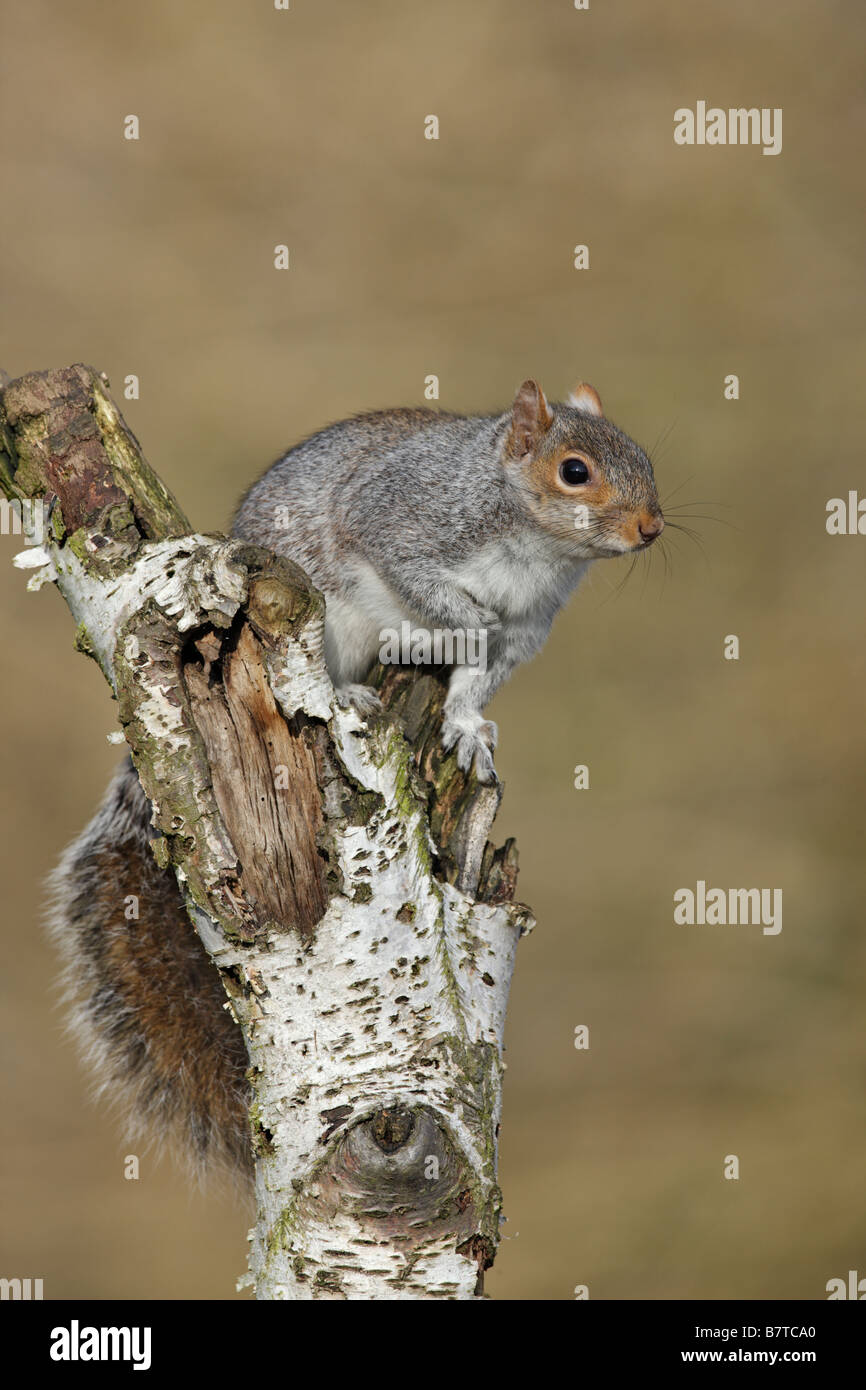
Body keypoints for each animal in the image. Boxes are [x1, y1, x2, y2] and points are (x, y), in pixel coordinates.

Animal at [47, 379, 663, 1182]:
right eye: (575, 472)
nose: (652, 528)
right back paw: (346, 697)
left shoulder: (525, 631)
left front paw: (469, 730)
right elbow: (423, 584)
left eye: (645, 458)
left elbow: (472, 684)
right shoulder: (400, 521)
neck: (529, 541)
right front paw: (458, 618)